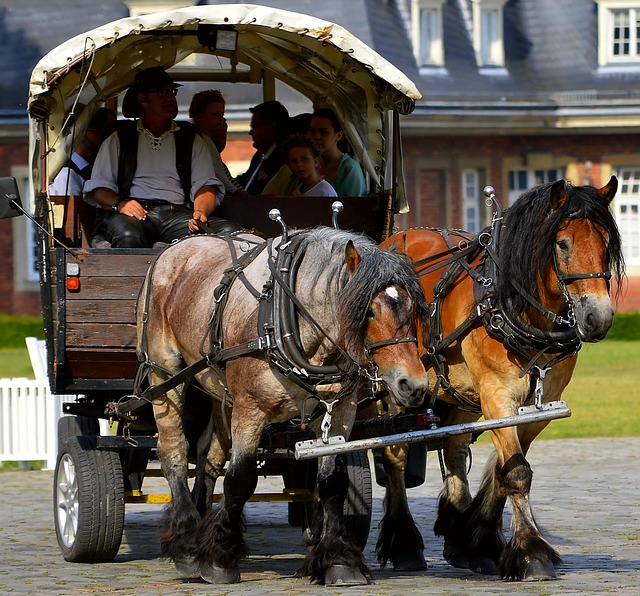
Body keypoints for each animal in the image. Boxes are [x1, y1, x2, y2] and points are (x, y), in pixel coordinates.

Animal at [135, 226, 431, 585]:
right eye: (369, 311)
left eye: (413, 310)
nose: (413, 384)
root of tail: (174, 250)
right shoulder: (249, 409)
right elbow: (240, 479)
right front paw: (220, 558)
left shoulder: (340, 412)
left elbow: (333, 484)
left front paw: (338, 559)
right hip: (165, 375)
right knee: (174, 452)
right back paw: (188, 543)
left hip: (218, 389)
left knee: (208, 456)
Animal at [377, 177, 625, 580]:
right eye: (562, 243)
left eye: (606, 243)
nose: (597, 318)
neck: (512, 305)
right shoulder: (496, 394)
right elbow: (516, 472)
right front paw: (531, 553)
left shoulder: (540, 404)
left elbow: (503, 470)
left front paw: (478, 539)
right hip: (394, 387)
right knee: (394, 455)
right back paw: (404, 545)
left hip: (459, 392)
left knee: (455, 449)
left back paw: (458, 531)